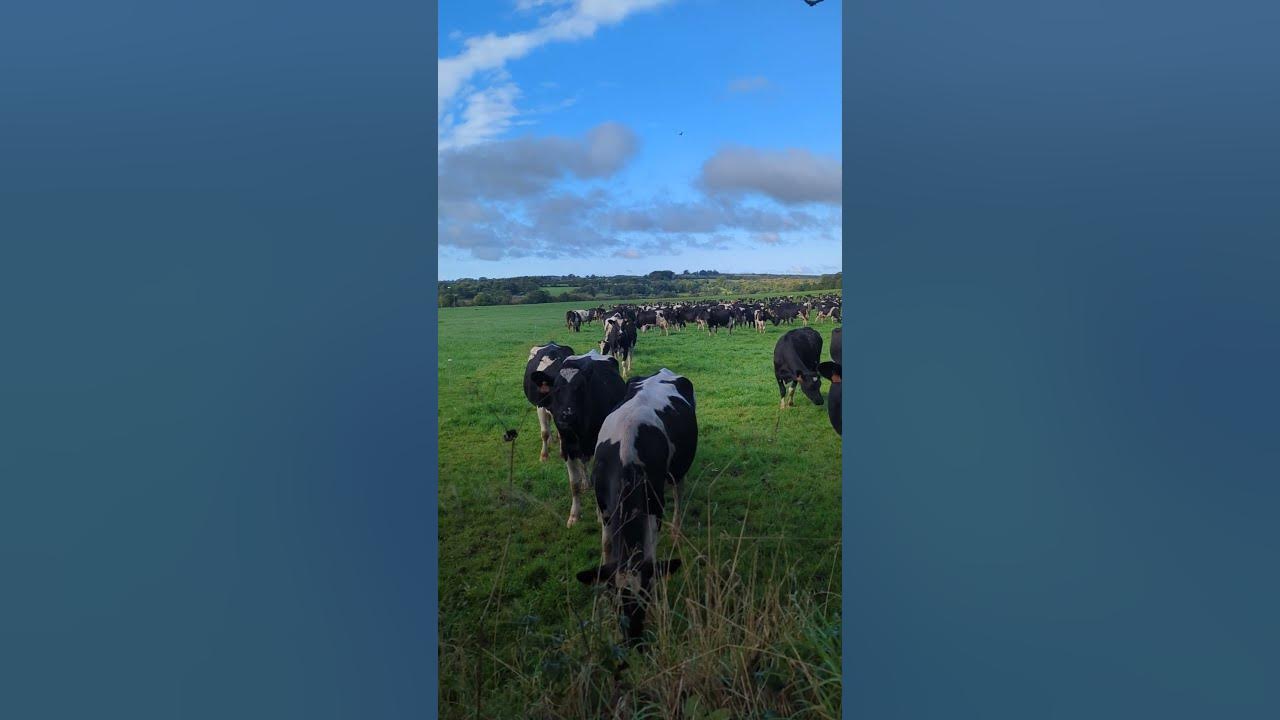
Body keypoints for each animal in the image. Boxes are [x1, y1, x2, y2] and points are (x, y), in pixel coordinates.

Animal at [529, 350, 628, 527]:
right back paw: (585, 482)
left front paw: (599, 515)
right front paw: (574, 515)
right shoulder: (567, 447)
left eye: (580, 387)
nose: (567, 414)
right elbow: (573, 484)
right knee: (583, 462)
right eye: (556, 389)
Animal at [576, 368, 697, 646]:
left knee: (679, 490)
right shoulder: (605, 511)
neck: (624, 459)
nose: (633, 639)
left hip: (678, 468)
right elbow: (606, 548)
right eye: (615, 599)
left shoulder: (654, 509)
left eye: (647, 596)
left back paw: (677, 528)